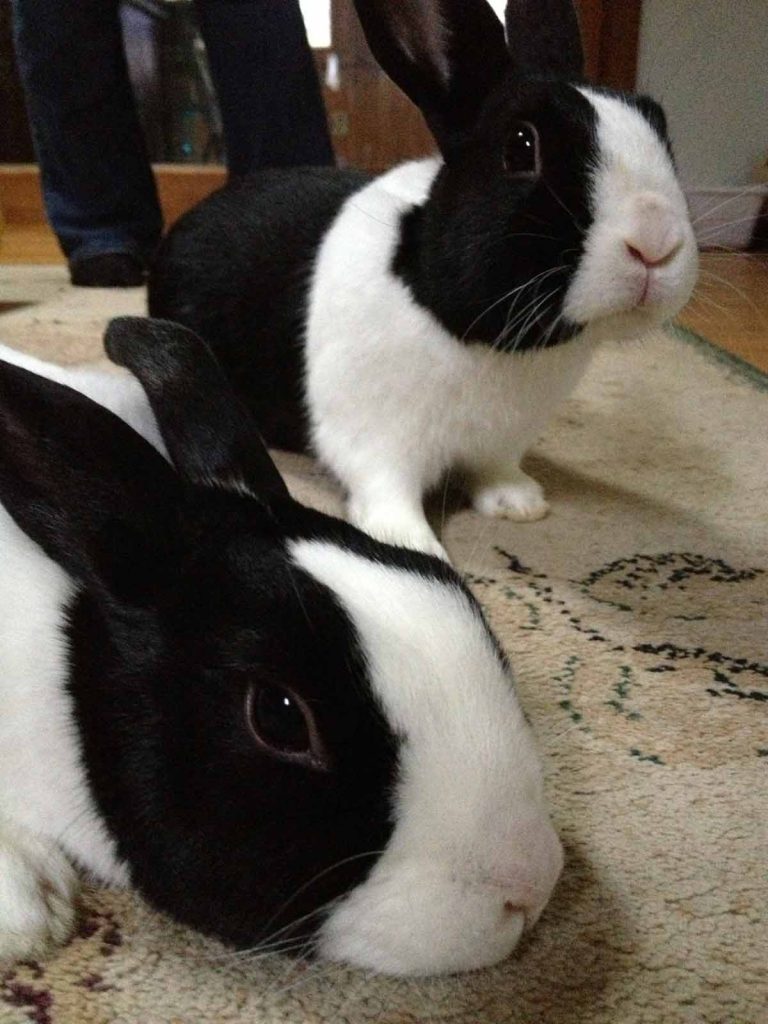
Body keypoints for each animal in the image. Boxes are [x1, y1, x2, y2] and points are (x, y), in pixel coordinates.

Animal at [148, 0, 699, 561]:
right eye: (522, 146)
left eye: (658, 122)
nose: (656, 241)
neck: (484, 336)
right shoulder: (375, 440)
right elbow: (387, 494)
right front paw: (413, 544)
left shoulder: (501, 442)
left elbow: (495, 470)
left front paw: (520, 504)